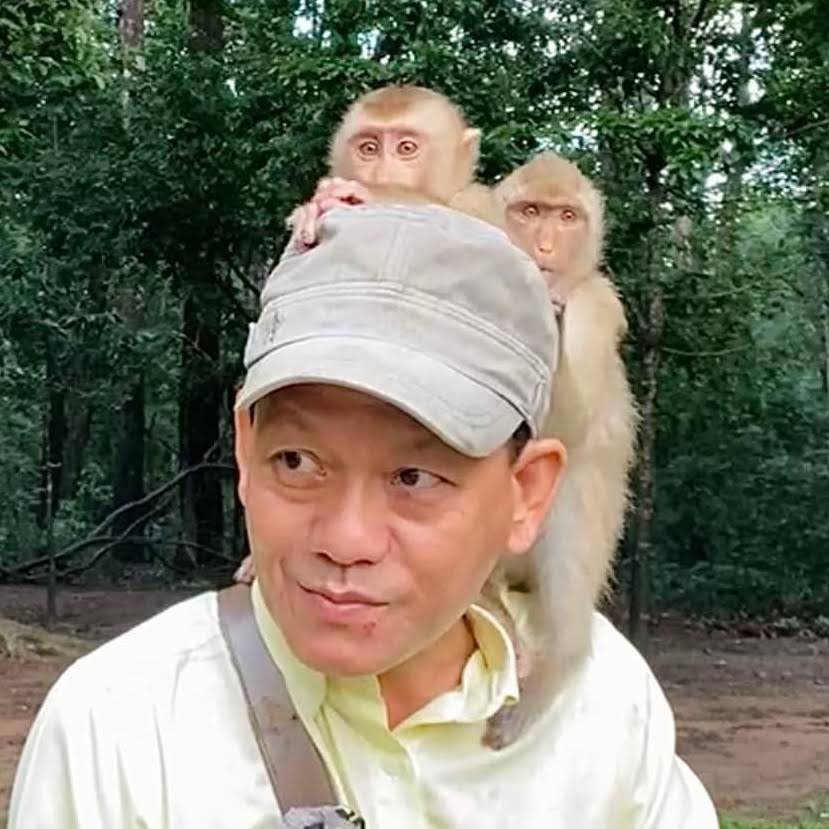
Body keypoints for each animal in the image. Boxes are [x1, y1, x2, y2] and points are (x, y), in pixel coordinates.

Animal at [478, 152, 638, 749]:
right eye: (530, 212)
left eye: (566, 217)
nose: (544, 247)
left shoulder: (597, 305)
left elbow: (570, 423)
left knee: (571, 485)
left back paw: (560, 657)